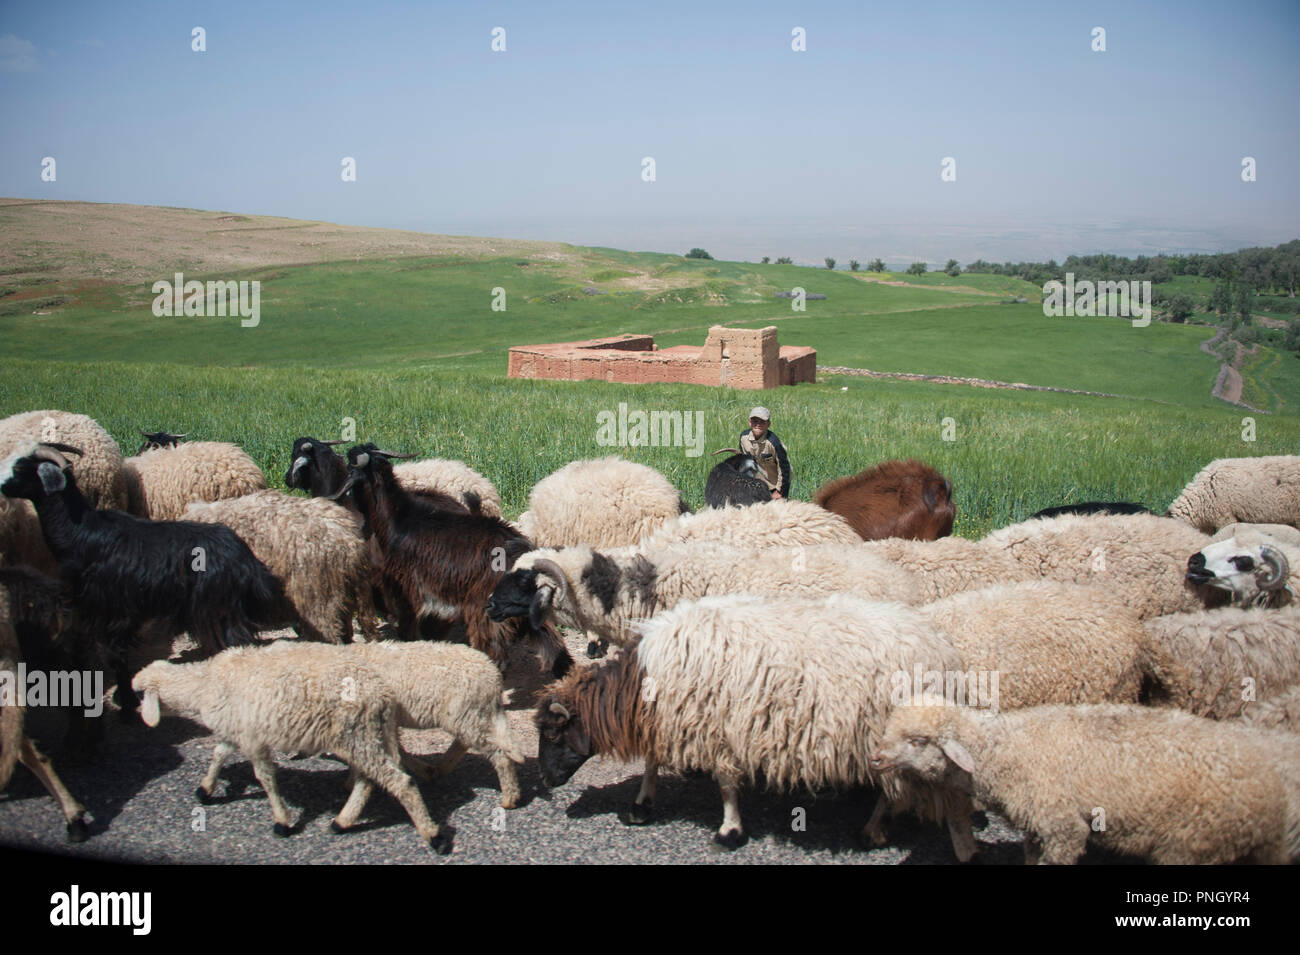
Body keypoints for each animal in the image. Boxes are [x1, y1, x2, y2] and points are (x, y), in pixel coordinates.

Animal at [132, 645, 451, 853]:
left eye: (140, 694)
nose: (135, 713)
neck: (203, 685)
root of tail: (382, 693)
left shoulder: (253, 739)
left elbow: (265, 778)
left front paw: (282, 821)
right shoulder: (237, 730)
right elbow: (218, 755)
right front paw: (205, 789)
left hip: (356, 735)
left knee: (400, 783)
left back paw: (433, 836)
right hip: (364, 736)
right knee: (369, 779)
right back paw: (342, 821)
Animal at [263, 639, 523, 808]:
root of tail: (493, 675)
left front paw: (352, 782)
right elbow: (397, 751)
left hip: (465, 715)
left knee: (497, 754)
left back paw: (509, 798)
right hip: (466, 716)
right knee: (466, 743)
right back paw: (440, 768)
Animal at [335, 444, 571, 676]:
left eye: (350, 467)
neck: (397, 521)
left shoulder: (407, 594)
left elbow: (410, 633)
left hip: (485, 609)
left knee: (495, 652)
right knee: (554, 647)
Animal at [534, 593, 975, 857]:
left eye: (553, 734)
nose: (547, 783)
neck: (641, 683)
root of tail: (944, 650)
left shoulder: (717, 726)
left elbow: (726, 784)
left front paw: (729, 832)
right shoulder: (674, 719)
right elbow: (652, 763)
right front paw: (641, 806)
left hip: (892, 737)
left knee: (894, 790)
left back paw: (872, 830)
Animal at [871, 700, 1297, 864]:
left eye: (918, 740)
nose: (876, 758)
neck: (1003, 748)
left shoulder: (1063, 827)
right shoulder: (1036, 826)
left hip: (1191, 844)